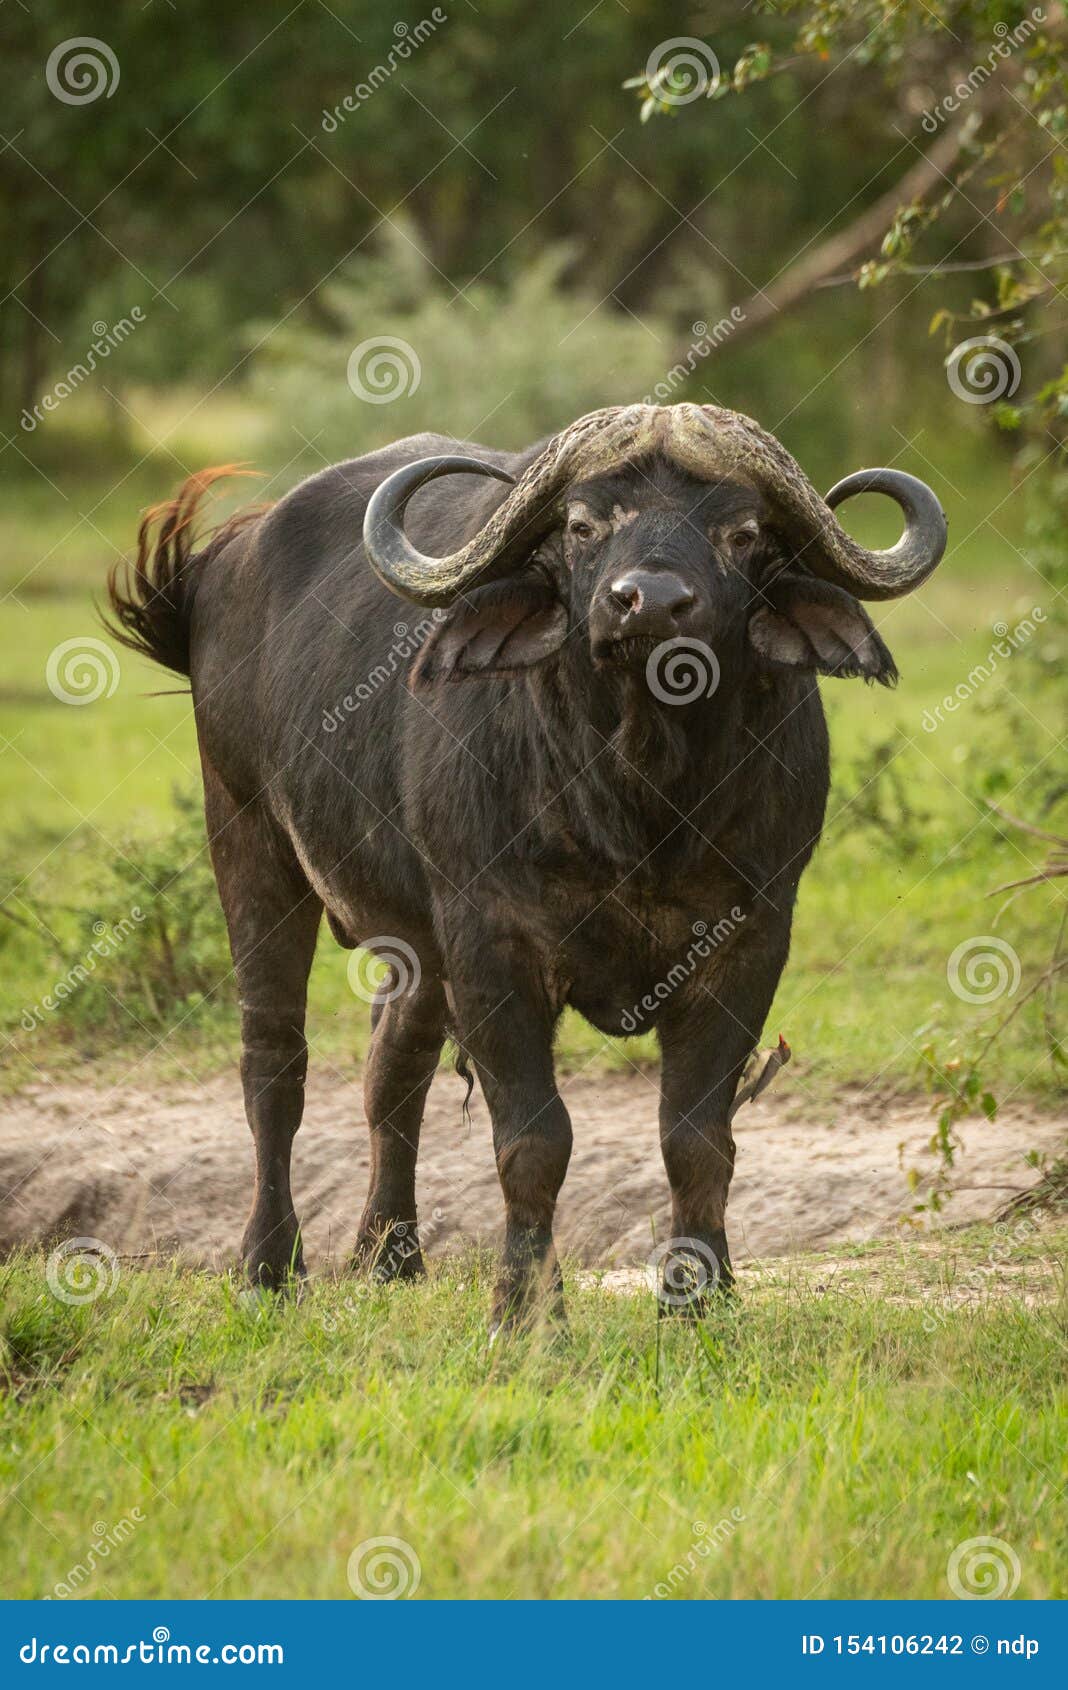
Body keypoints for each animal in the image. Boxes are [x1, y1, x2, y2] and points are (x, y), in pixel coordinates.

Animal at [107, 401, 946, 1329]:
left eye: (743, 532)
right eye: (582, 525)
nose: (649, 602)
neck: (640, 798)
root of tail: (228, 557)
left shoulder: (751, 936)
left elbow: (697, 1138)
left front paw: (701, 1298)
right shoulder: (491, 939)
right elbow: (535, 1140)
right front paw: (525, 1311)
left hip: (414, 946)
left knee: (393, 1070)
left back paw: (389, 1257)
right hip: (249, 842)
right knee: (275, 1066)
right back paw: (268, 1269)